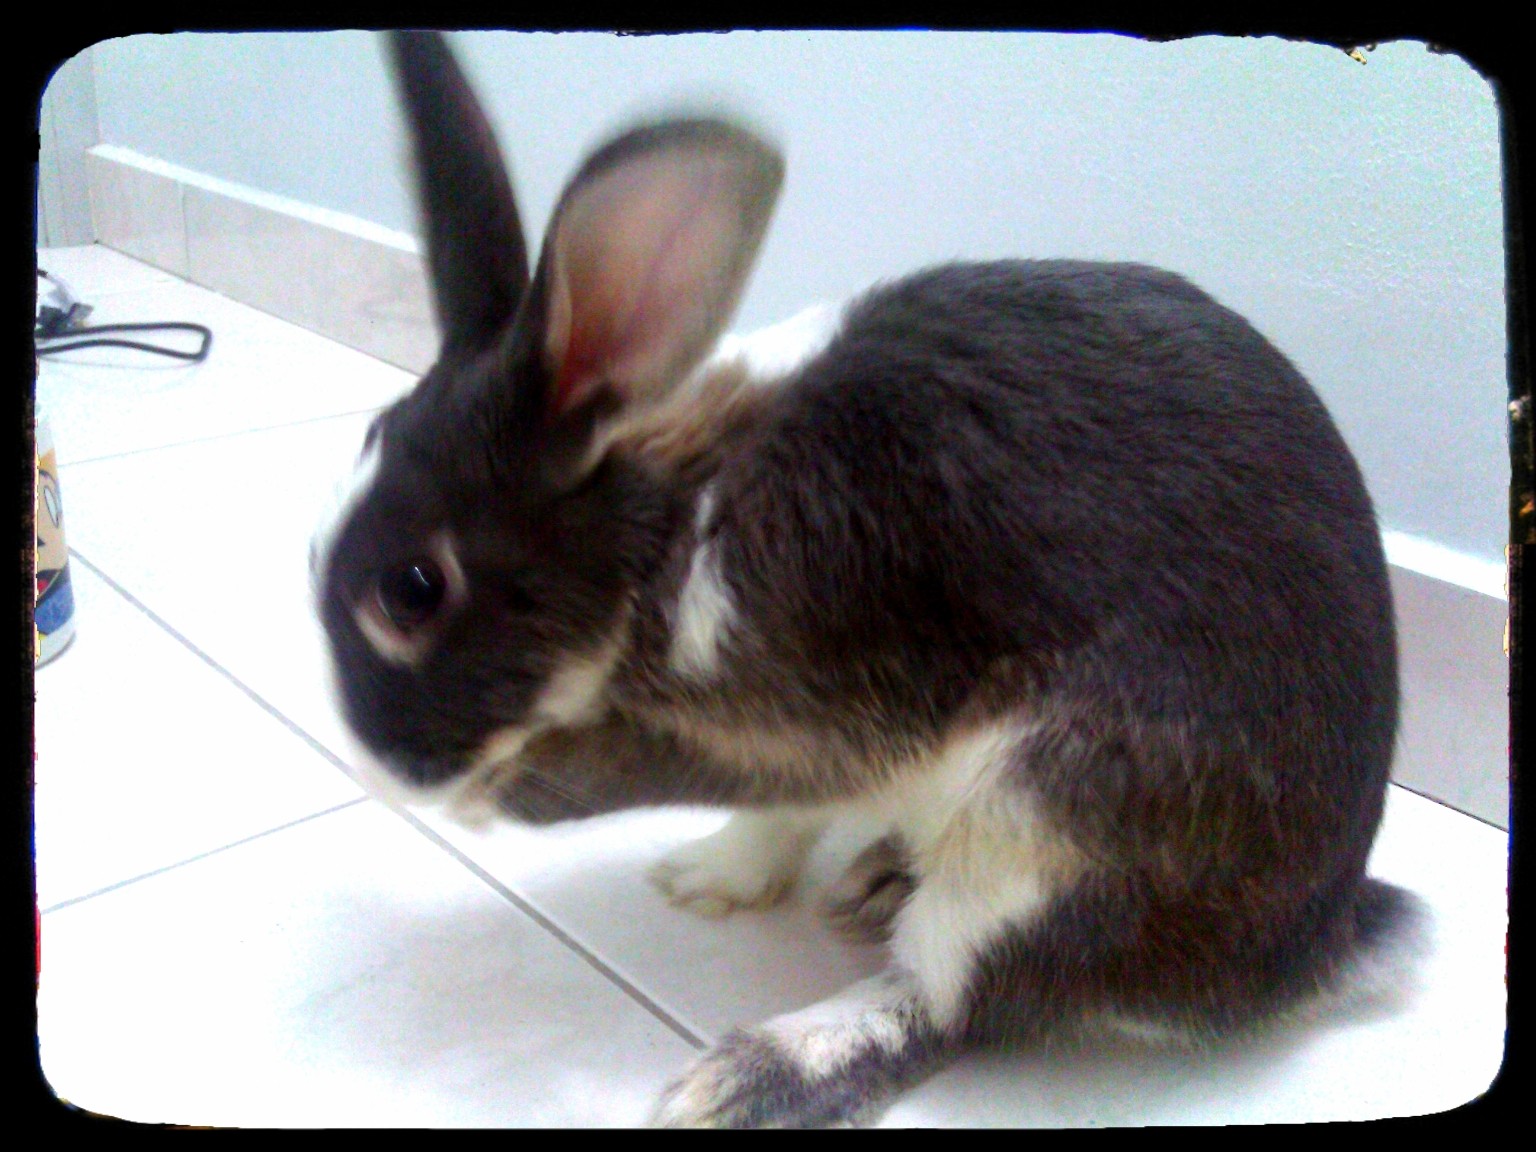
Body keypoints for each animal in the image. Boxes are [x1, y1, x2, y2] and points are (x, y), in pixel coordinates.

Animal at [312, 29, 1420, 1128]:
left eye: (412, 589)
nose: (373, 764)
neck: (676, 526)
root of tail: (1307, 952)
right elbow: (777, 814)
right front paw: (705, 878)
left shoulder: (839, 714)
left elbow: (659, 773)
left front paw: (508, 793)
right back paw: (871, 883)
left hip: (1046, 841)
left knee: (953, 1003)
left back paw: (744, 1079)